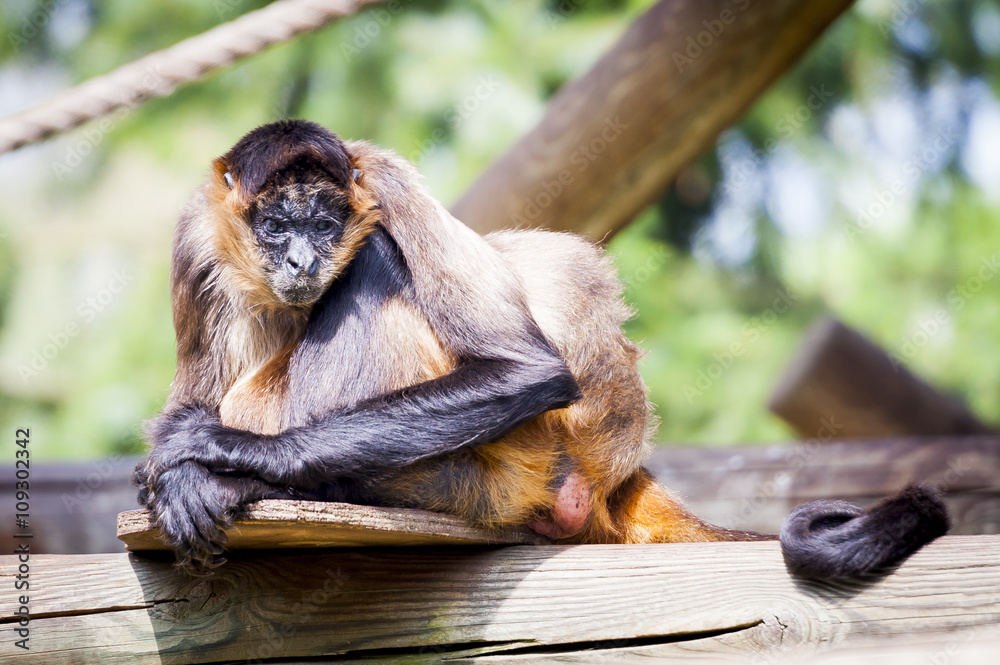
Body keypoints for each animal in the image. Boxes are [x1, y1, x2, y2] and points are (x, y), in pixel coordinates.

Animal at [133, 119, 949, 578]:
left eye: (326, 221)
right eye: (277, 226)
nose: (305, 257)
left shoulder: (383, 182)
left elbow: (527, 371)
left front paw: (216, 455)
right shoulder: (194, 229)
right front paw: (177, 465)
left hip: (501, 468)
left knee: (376, 263)